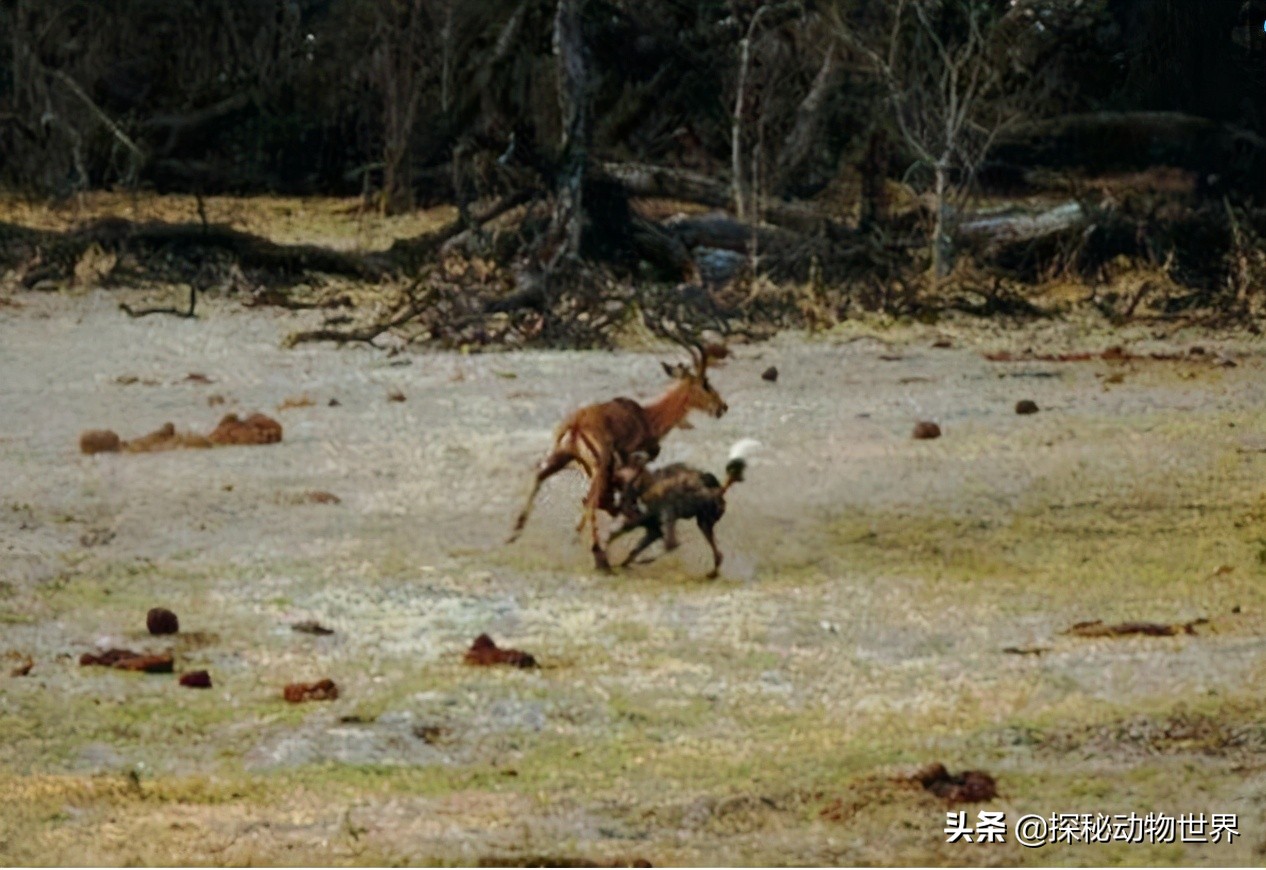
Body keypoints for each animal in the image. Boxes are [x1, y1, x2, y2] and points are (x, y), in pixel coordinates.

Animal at [507, 340, 728, 570]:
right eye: (705, 383)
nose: (722, 407)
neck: (647, 417)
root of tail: (576, 424)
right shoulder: (629, 462)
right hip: (598, 467)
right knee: (590, 501)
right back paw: (591, 550)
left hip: (564, 460)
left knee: (540, 477)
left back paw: (515, 535)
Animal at [609, 439, 759, 579]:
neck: (645, 484)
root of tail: (716, 490)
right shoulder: (652, 529)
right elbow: (631, 547)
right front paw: (620, 564)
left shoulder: (654, 522)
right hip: (703, 524)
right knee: (718, 555)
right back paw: (712, 574)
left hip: (678, 513)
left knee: (672, 544)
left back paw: (645, 560)